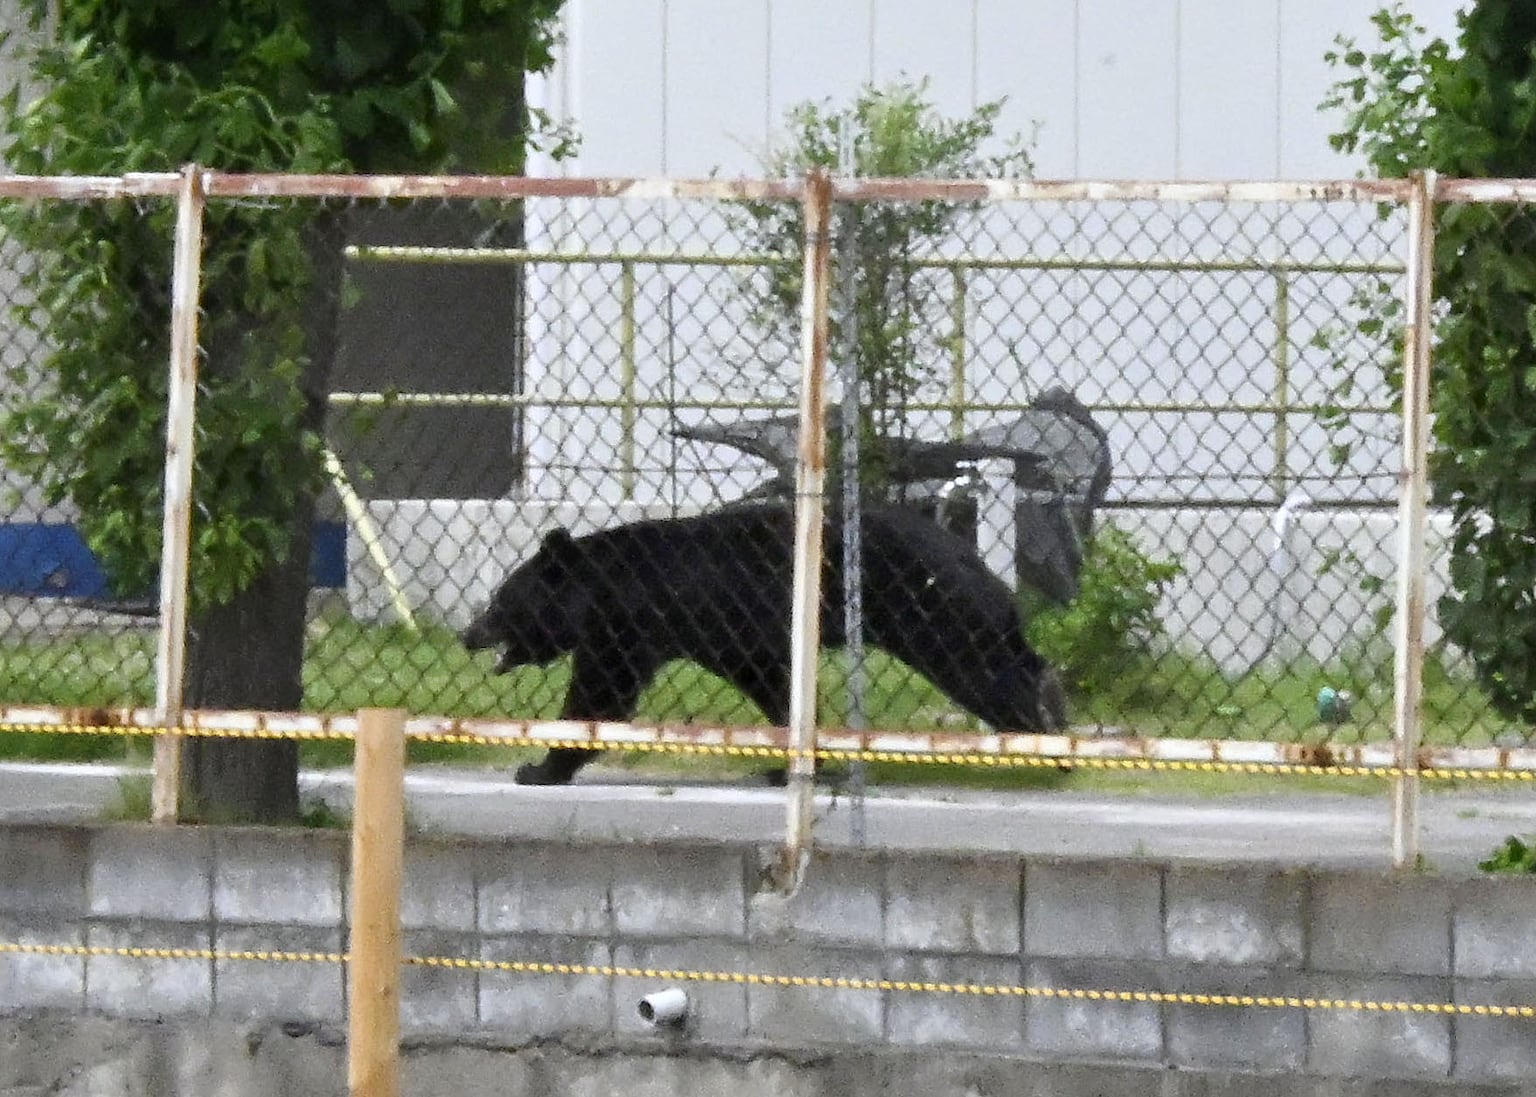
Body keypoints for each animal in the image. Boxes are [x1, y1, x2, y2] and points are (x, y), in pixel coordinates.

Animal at [460, 502, 1067, 784]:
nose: (468, 634)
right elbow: (772, 680)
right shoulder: (723, 633)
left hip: (925, 606)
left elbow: (601, 690)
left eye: (501, 601)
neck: (611, 586)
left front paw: (540, 766)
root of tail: (964, 549)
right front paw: (789, 760)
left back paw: (1044, 728)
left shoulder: (633, 625)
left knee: (979, 661)